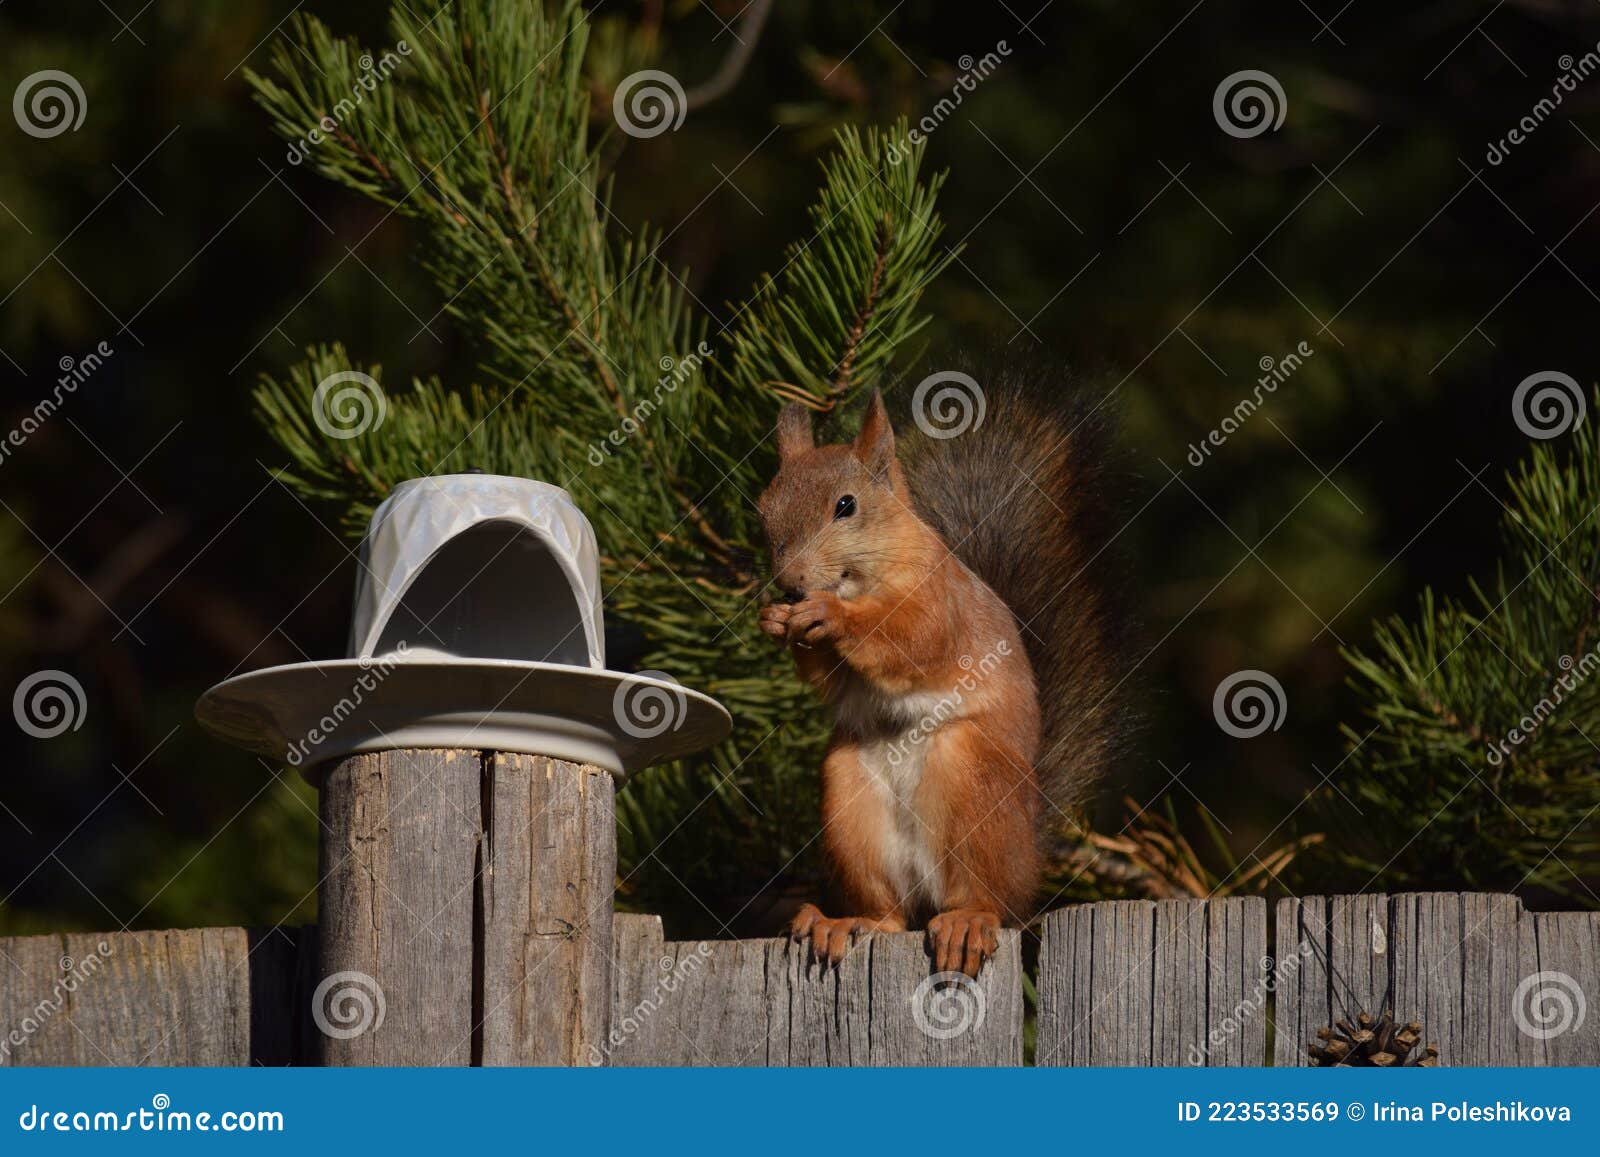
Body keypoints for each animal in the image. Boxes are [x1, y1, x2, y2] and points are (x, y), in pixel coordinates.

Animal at [757, 358, 1129, 977]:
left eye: (845, 505)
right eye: (763, 509)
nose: (789, 583)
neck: (872, 575)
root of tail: (1030, 858)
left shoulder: (941, 605)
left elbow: (909, 639)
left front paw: (829, 615)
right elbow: (828, 680)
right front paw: (775, 619)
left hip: (972, 776)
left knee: (983, 897)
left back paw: (967, 921)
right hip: (849, 796)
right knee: (889, 914)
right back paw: (844, 922)